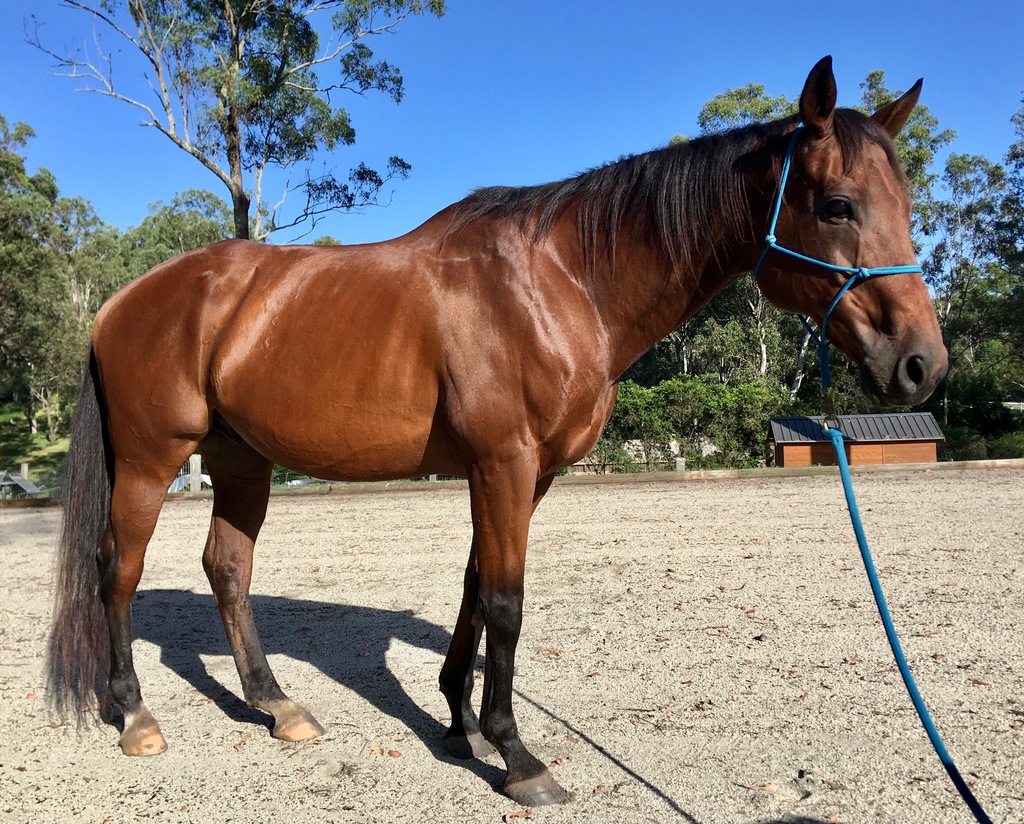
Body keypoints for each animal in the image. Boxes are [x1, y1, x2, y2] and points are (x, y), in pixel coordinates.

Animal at [48, 56, 947, 806]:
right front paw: (517, 755)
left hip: (242, 461)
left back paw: (277, 705)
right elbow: (507, 604)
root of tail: (122, 299)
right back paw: (135, 716)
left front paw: (459, 722)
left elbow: (477, 591)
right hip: (152, 462)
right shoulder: (502, 463)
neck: (563, 282)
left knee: (227, 569)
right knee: (117, 572)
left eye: (907, 207)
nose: (922, 364)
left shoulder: (526, 472)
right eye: (838, 206)